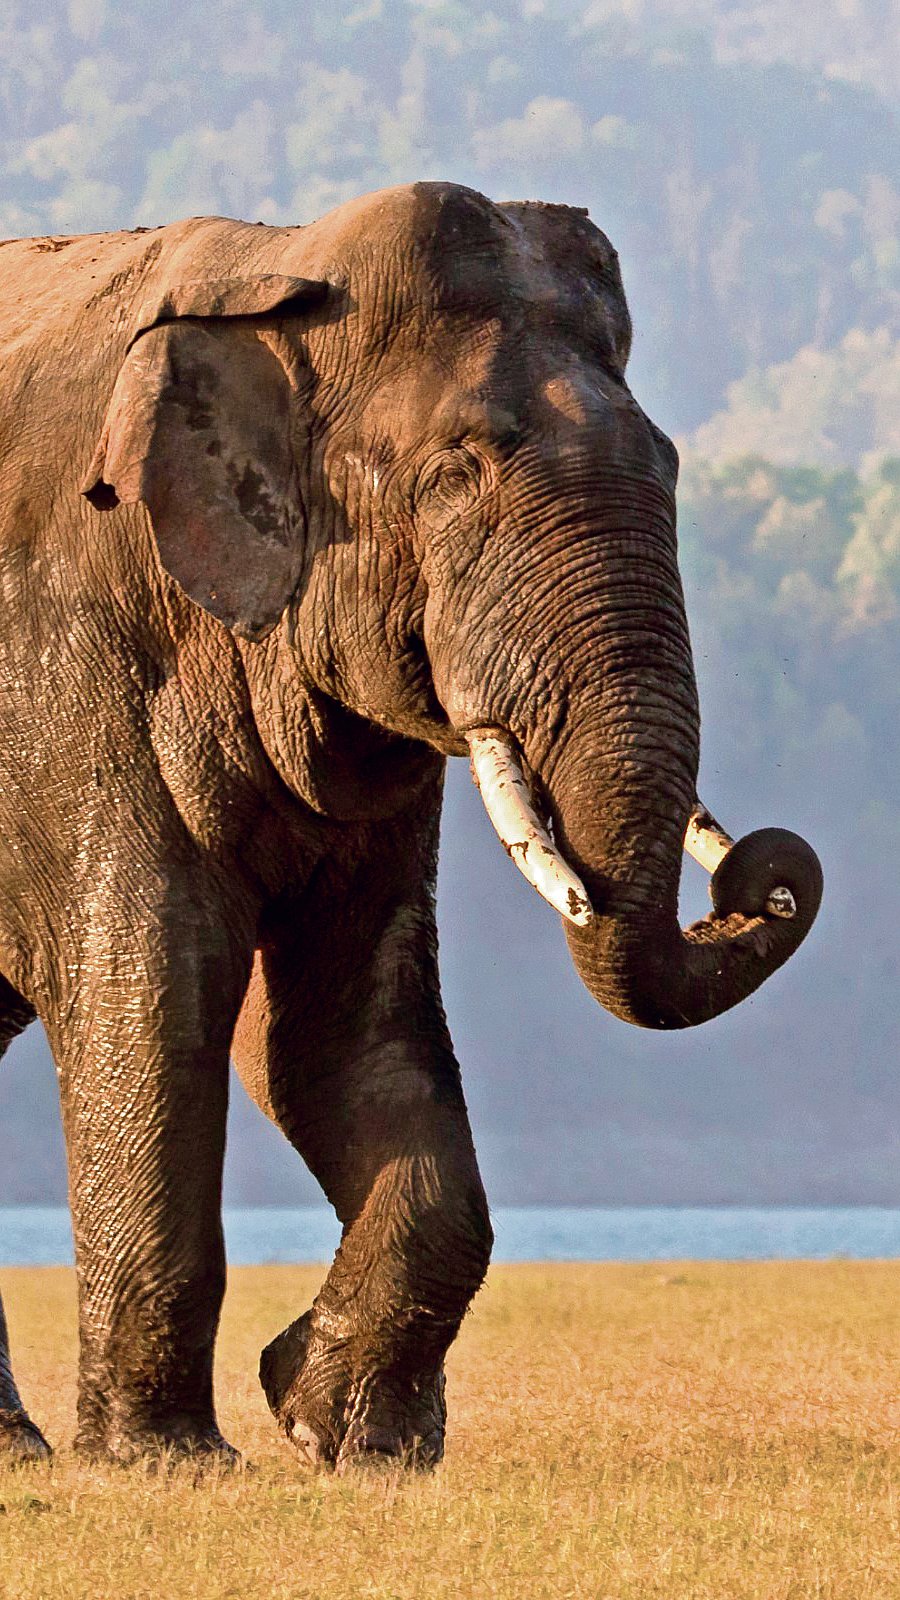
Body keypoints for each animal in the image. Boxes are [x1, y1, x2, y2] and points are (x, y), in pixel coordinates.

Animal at [0, 182, 822, 1469]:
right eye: (450, 478)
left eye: (672, 461)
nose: (765, 879)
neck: (281, 274)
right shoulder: (75, 650)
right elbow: (151, 980)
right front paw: (173, 1464)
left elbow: (335, 1020)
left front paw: (343, 1432)